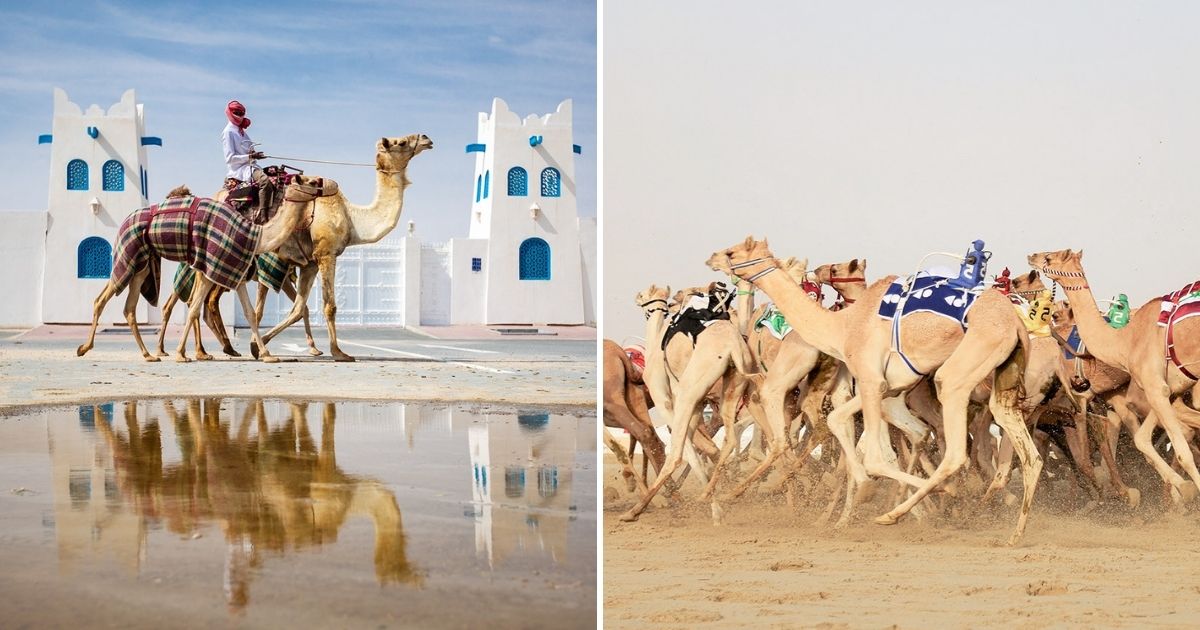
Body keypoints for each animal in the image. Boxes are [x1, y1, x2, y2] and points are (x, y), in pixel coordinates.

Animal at [76, 175, 339, 363]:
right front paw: (181, 355)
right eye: (309, 181)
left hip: (142, 264)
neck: (255, 235)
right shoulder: (212, 265)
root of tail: (124, 221)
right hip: (129, 255)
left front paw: (266, 354)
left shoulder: (235, 271)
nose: (330, 184)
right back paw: (85, 348)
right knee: (103, 298)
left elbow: (250, 313)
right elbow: (194, 308)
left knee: (131, 308)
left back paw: (150, 354)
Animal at [254, 134, 433, 361]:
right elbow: (330, 306)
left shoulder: (311, 263)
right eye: (400, 142)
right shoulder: (326, 254)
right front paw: (339, 353)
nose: (426, 138)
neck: (351, 217)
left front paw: (255, 345)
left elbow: (298, 309)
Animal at [710, 237, 1042, 545]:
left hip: (966, 363)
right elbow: (840, 422)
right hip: (1003, 377)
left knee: (957, 446)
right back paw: (1015, 533)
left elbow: (875, 458)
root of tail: (1016, 324)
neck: (843, 327)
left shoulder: (870, 381)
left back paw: (894, 513)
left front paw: (866, 494)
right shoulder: (886, 389)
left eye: (732, 253)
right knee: (1029, 454)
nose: (711, 258)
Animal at [1030, 249, 1200, 502]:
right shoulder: (1162, 391)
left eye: (1050, 258)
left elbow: (1181, 451)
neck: (1125, 341)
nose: (1032, 257)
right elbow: (1142, 439)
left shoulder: (1152, 389)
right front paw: (1181, 490)